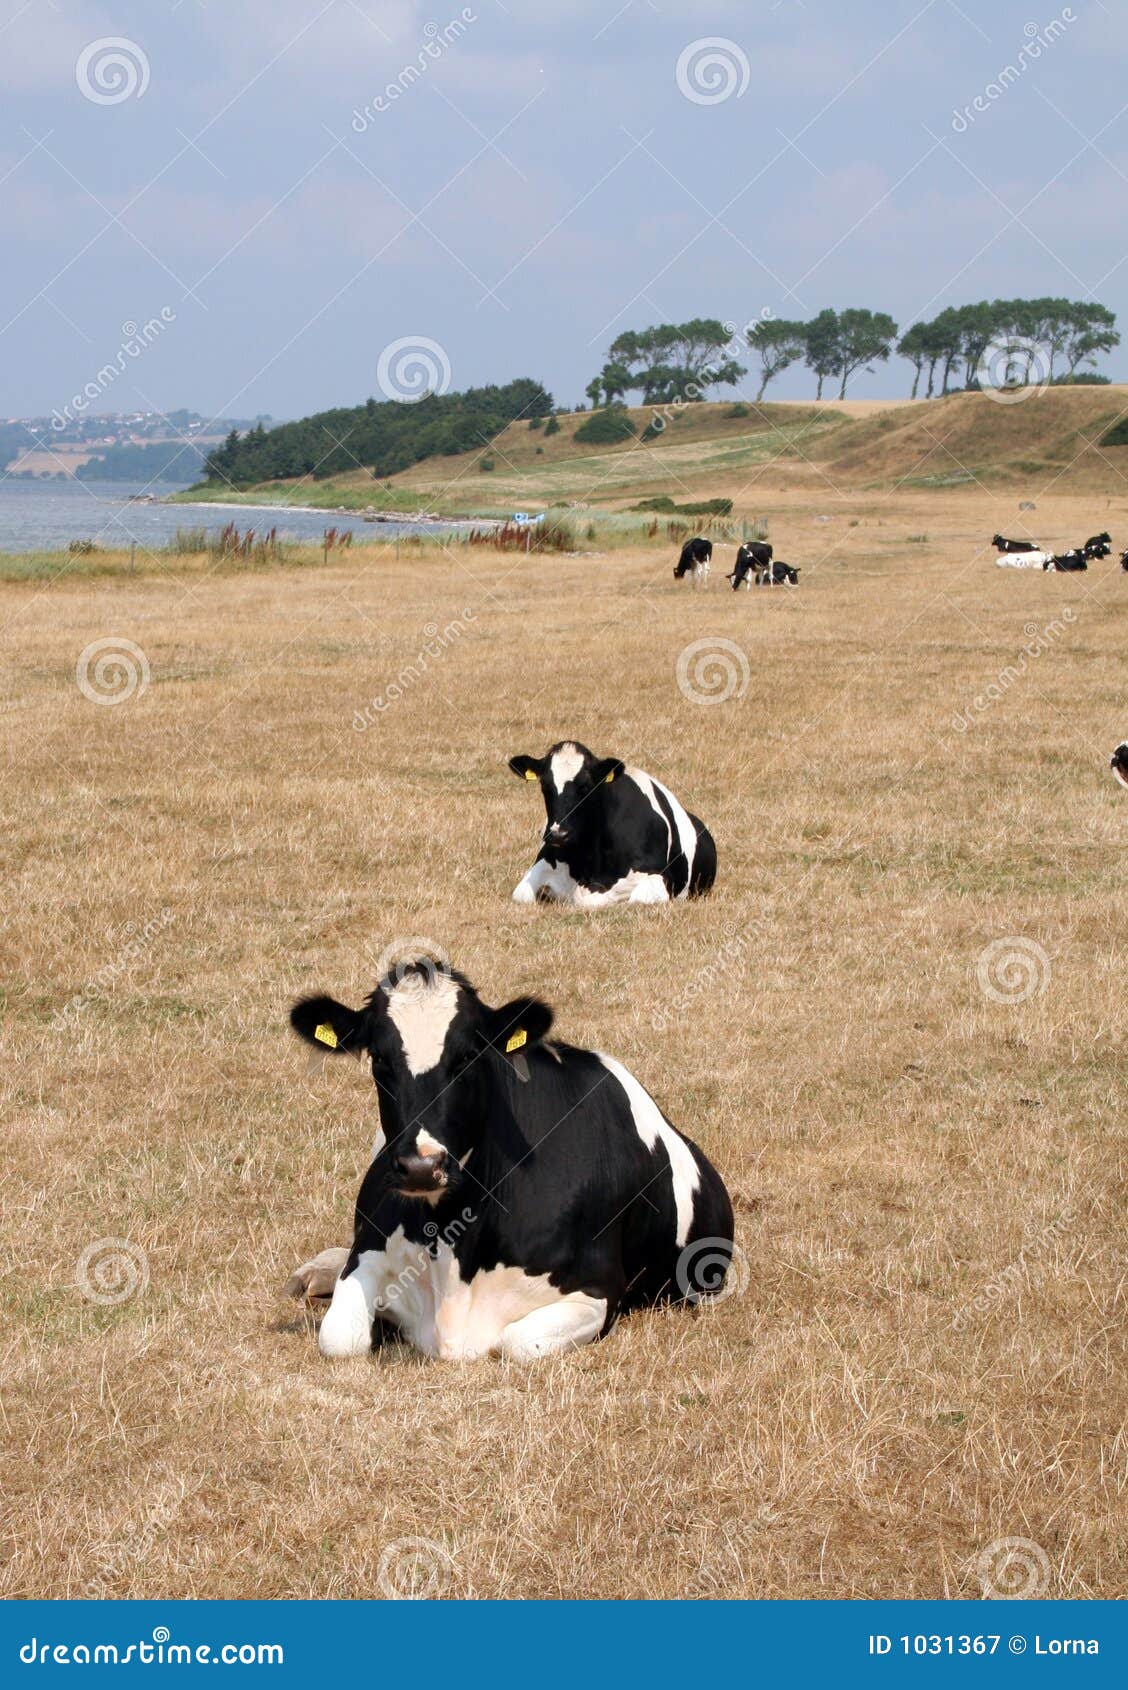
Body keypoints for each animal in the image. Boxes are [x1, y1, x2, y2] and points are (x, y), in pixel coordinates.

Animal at [285, 961, 735, 1361]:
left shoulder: (598, 1289)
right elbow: (339, 1338)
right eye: (378, 1057)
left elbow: (515, 1342)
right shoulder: (370, 1252)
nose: (421, 1167)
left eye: (469, 1056)